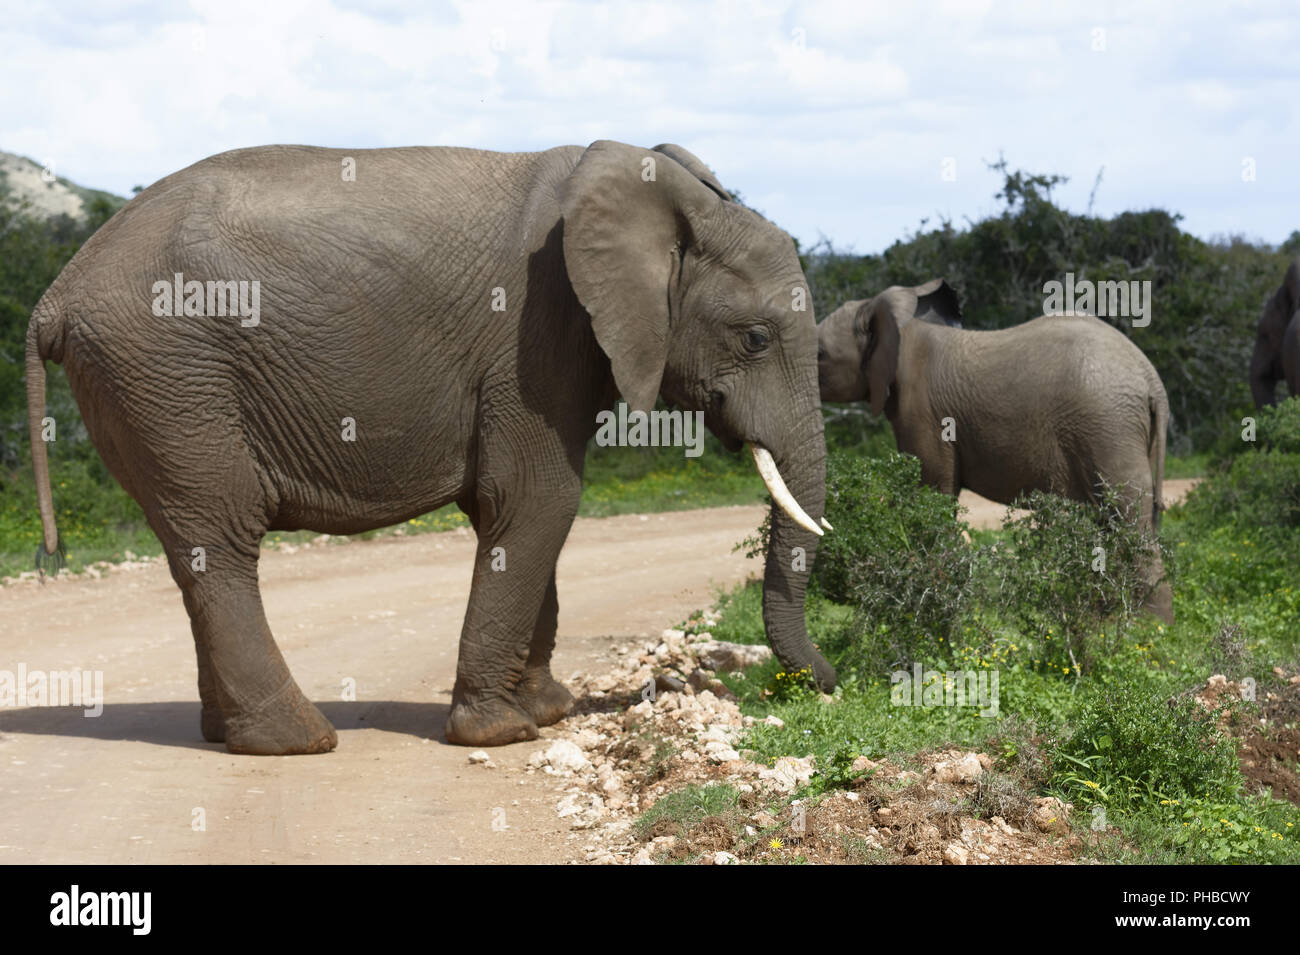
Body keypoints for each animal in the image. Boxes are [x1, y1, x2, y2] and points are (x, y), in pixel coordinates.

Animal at [26, 140, 835, 755]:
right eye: (755, 338)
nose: (821, 684)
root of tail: (52, 298)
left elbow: (517, 512)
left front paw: (548, 709)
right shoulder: (531, 337)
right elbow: (540, 499)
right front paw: (503, 731)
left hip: (146, 389)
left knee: (196, 547)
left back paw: (228, 735)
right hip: (169, 374)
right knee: (224, 537)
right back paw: (299, 742)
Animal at [817, 280, 1173, 620]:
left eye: (819, 354)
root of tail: (1152, 381)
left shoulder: (923, 414)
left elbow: (932, 492)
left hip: (1108, 425)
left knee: (1127, 515)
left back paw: (1148, 625)